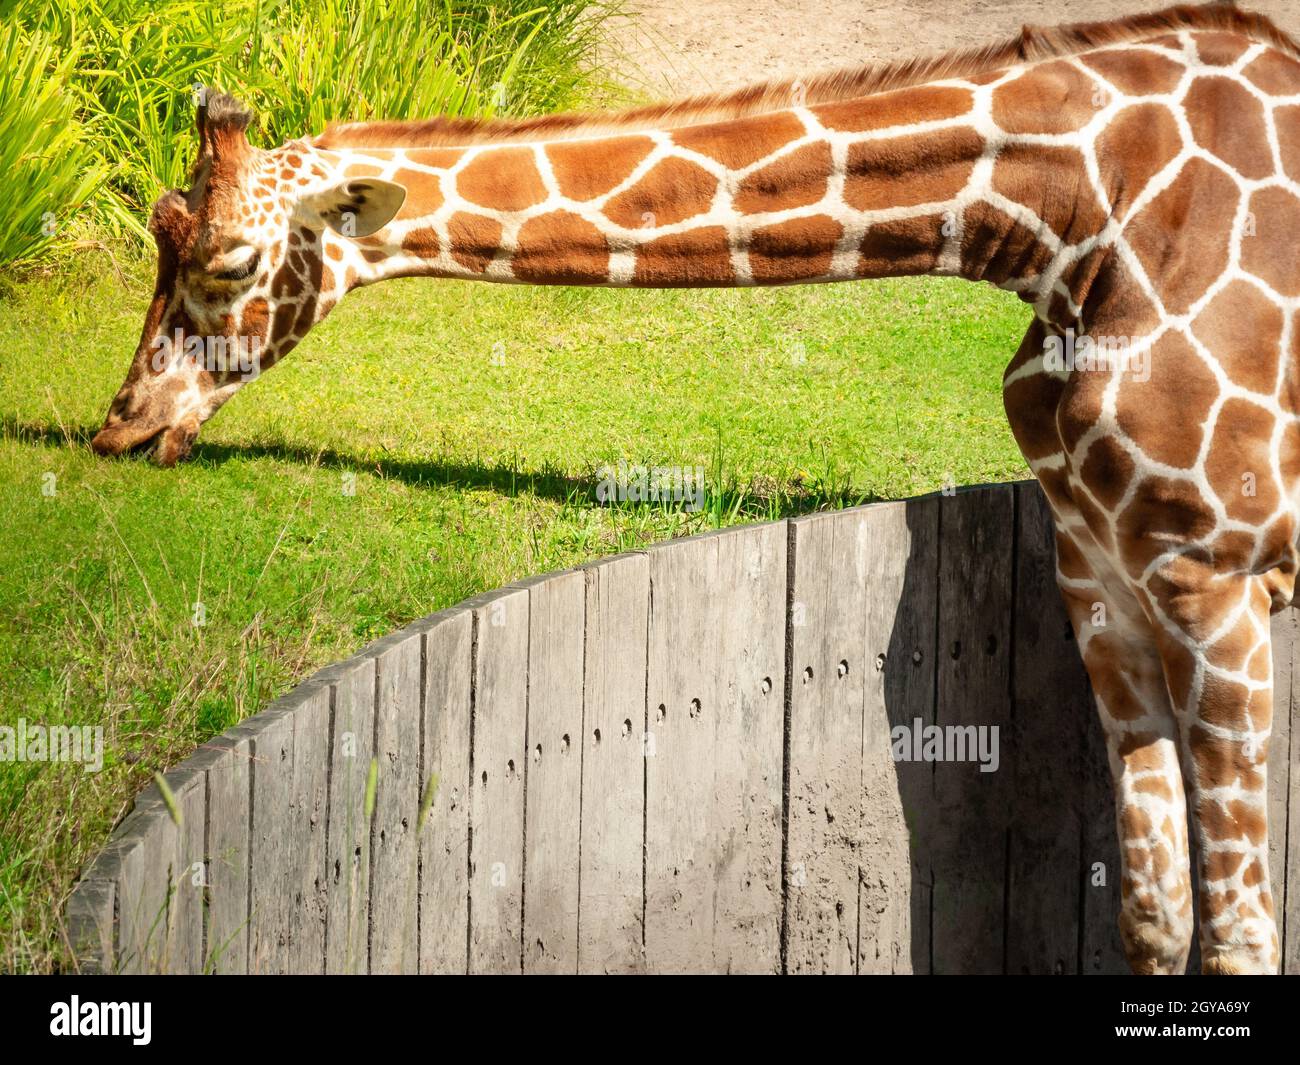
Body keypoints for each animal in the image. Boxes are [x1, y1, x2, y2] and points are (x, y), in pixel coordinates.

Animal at [91, 2, 1300, 974]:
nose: (120, 423)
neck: (1075, 215)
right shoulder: (1098, 568)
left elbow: (1243, 935)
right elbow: (1154, 916)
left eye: (229, 264)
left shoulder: (1212, 574)